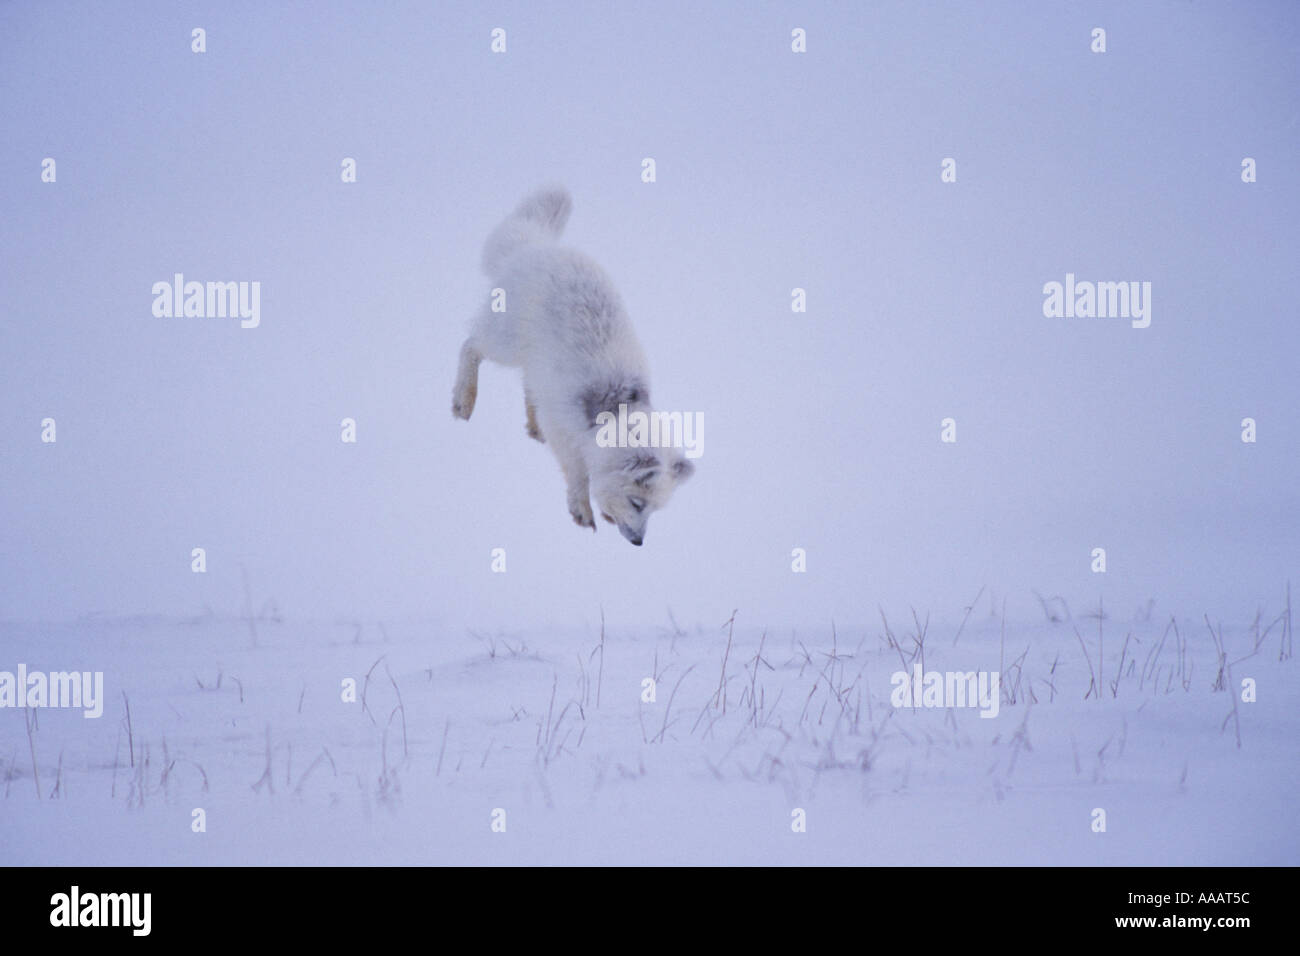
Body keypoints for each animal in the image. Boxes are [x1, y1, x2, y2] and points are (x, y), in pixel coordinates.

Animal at [452, 186, 695, 546]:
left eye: (655, 510)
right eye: (637, 503)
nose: (639, 542)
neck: (613, 407)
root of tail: (535, 246)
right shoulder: (564, 433)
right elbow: (576, 473)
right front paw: (581, 509)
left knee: (527, 383)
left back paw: (531, 423)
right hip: (505, 343)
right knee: (470, 345)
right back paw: (463, 400)